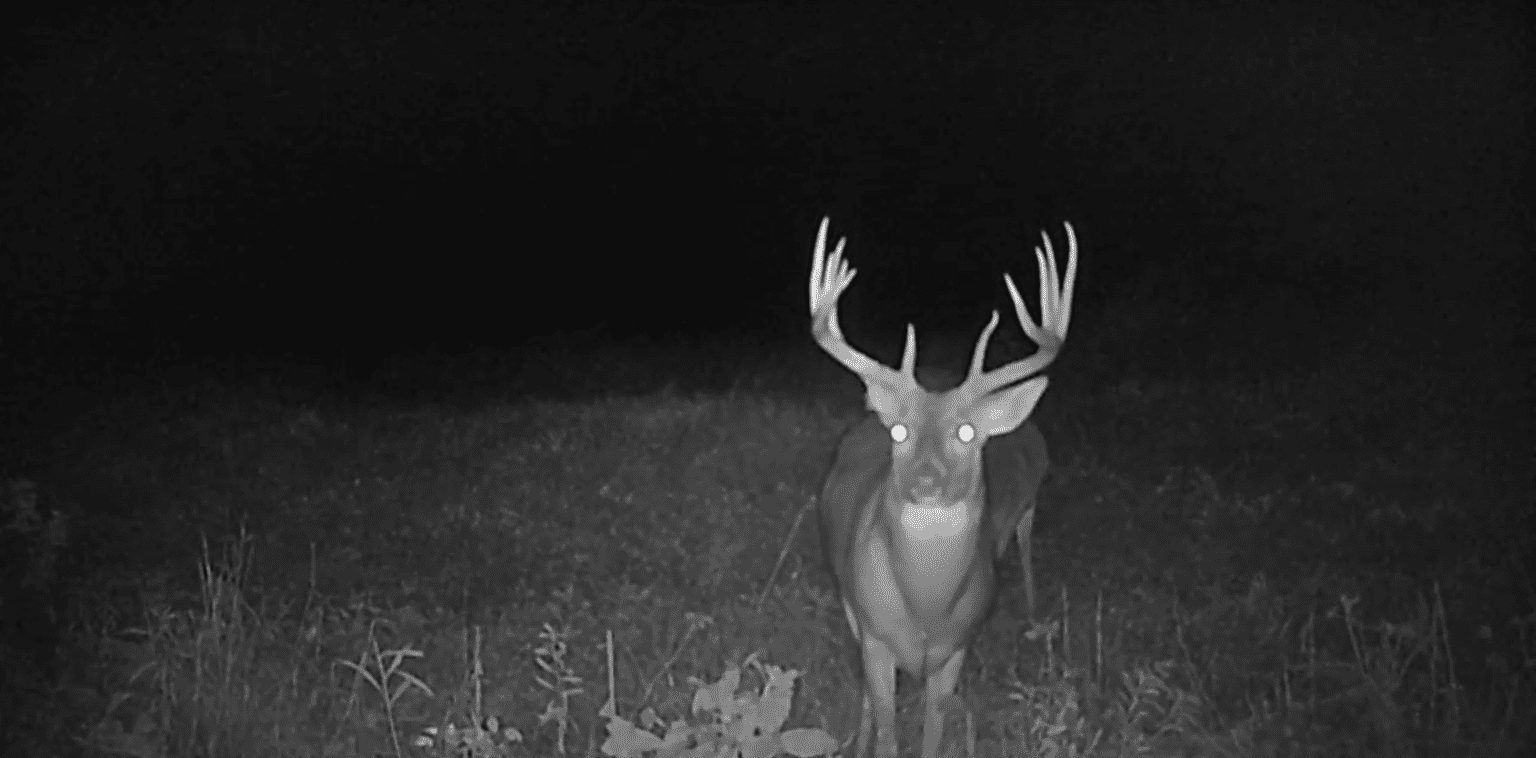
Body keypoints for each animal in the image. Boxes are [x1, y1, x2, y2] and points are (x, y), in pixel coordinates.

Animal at [807, 217, 1078, 758]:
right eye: (900, 431)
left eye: (967, 432)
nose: (926, 480)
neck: (926, 610)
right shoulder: (876, 638)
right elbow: (888, 732)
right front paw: (872, 740)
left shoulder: (956, 650)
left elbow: (933, 734)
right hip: (849, 600)